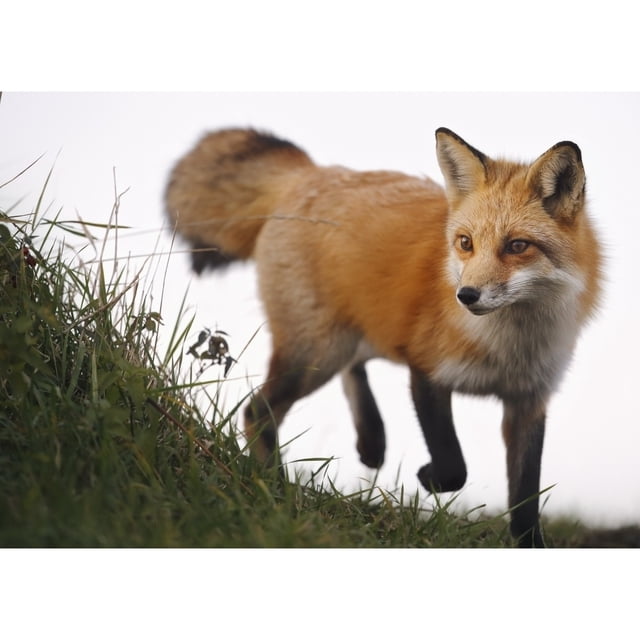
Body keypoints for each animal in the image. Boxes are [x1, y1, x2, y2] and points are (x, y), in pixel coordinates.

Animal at [165, 126, 602, 547]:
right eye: (466, 243)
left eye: (517, 246)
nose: (466, 296)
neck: (508, 347)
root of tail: (310, 172)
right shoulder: (426, 370)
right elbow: (453, 466)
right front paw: (429, 478)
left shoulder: (528, 400)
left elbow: (525, 498)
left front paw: (530, 545)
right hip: (315, 354)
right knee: (257, 412)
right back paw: (274, 486)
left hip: (349, 339)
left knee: (352, 369)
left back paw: (370, 440)